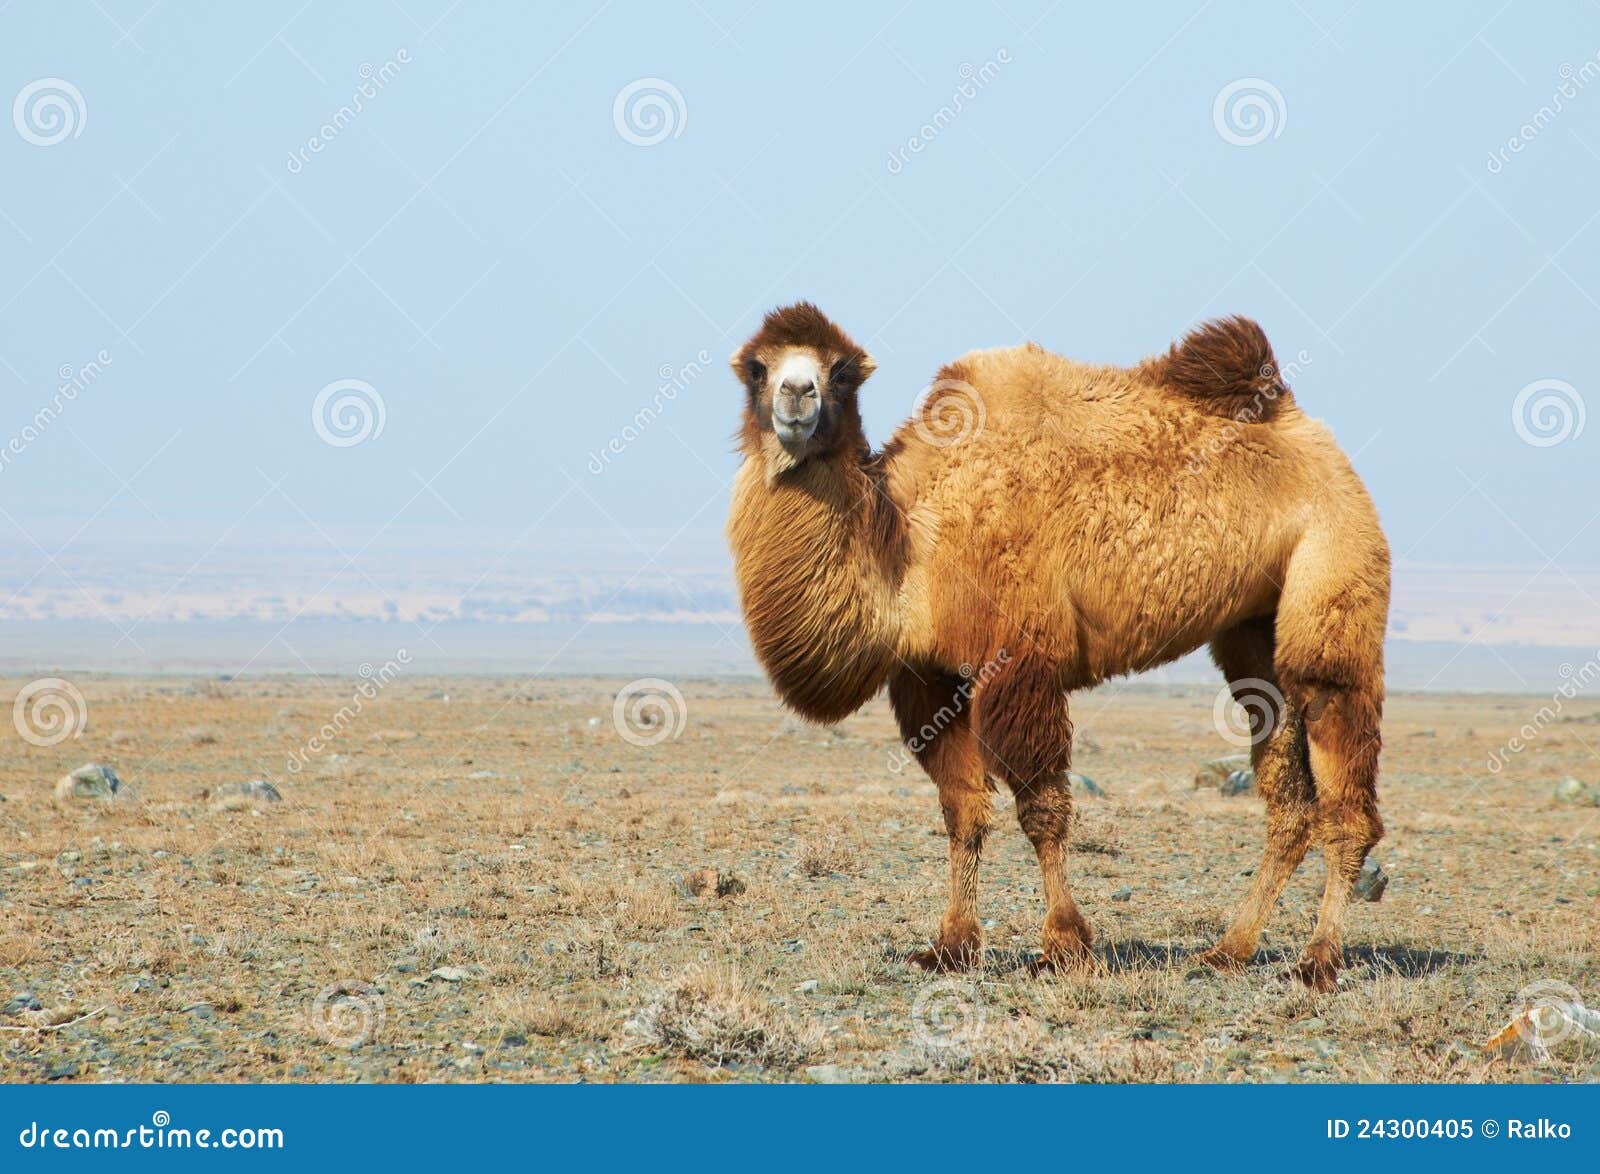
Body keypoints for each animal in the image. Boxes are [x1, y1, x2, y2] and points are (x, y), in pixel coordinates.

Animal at [725, 303, 1388, 991]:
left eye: (841, 371)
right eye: (758, 368)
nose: (796, 395)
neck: (913, 544)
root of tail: (1311, 434)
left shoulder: (1020, 660)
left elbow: (1042, 809)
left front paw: (1065, 946)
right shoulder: (930, 677)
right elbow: (962, 809)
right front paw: (950, 946)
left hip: (1333, 561)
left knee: (1342, 769)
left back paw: (1318, 960)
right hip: (1252, 630)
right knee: (1286, 787)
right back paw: (1228, 949)